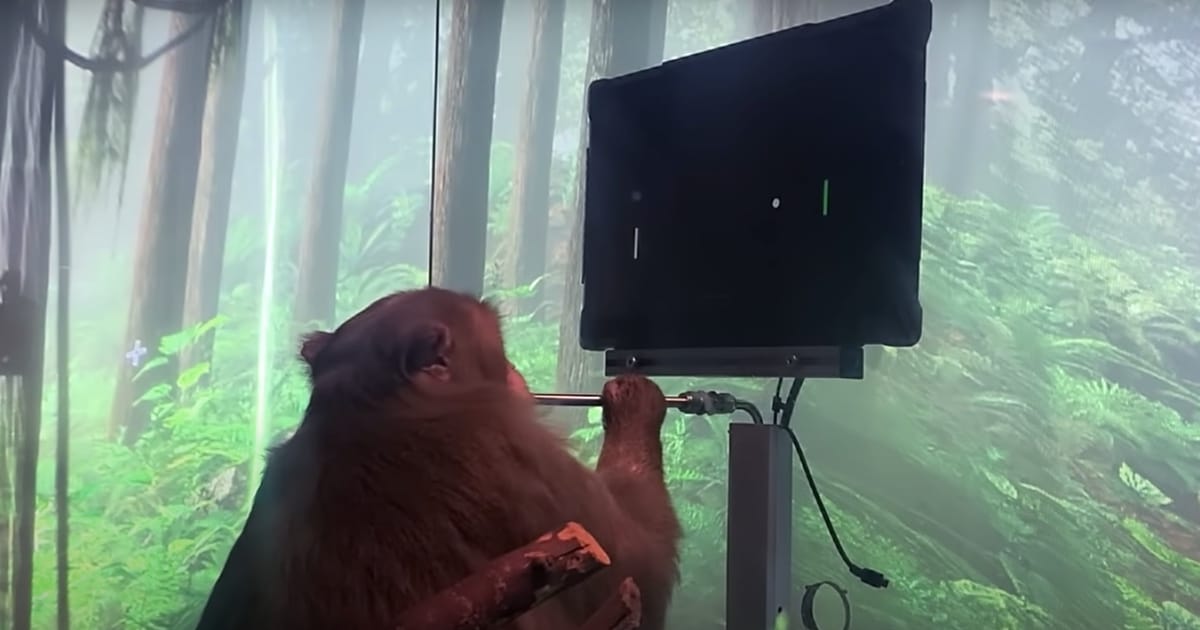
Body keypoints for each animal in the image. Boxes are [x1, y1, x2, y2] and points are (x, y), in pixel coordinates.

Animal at [194, 287, 681, 630]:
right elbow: (640, 566)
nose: (517, 375)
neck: (373, 405)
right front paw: (634, 403)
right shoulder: (514, 448)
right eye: (501, 355)